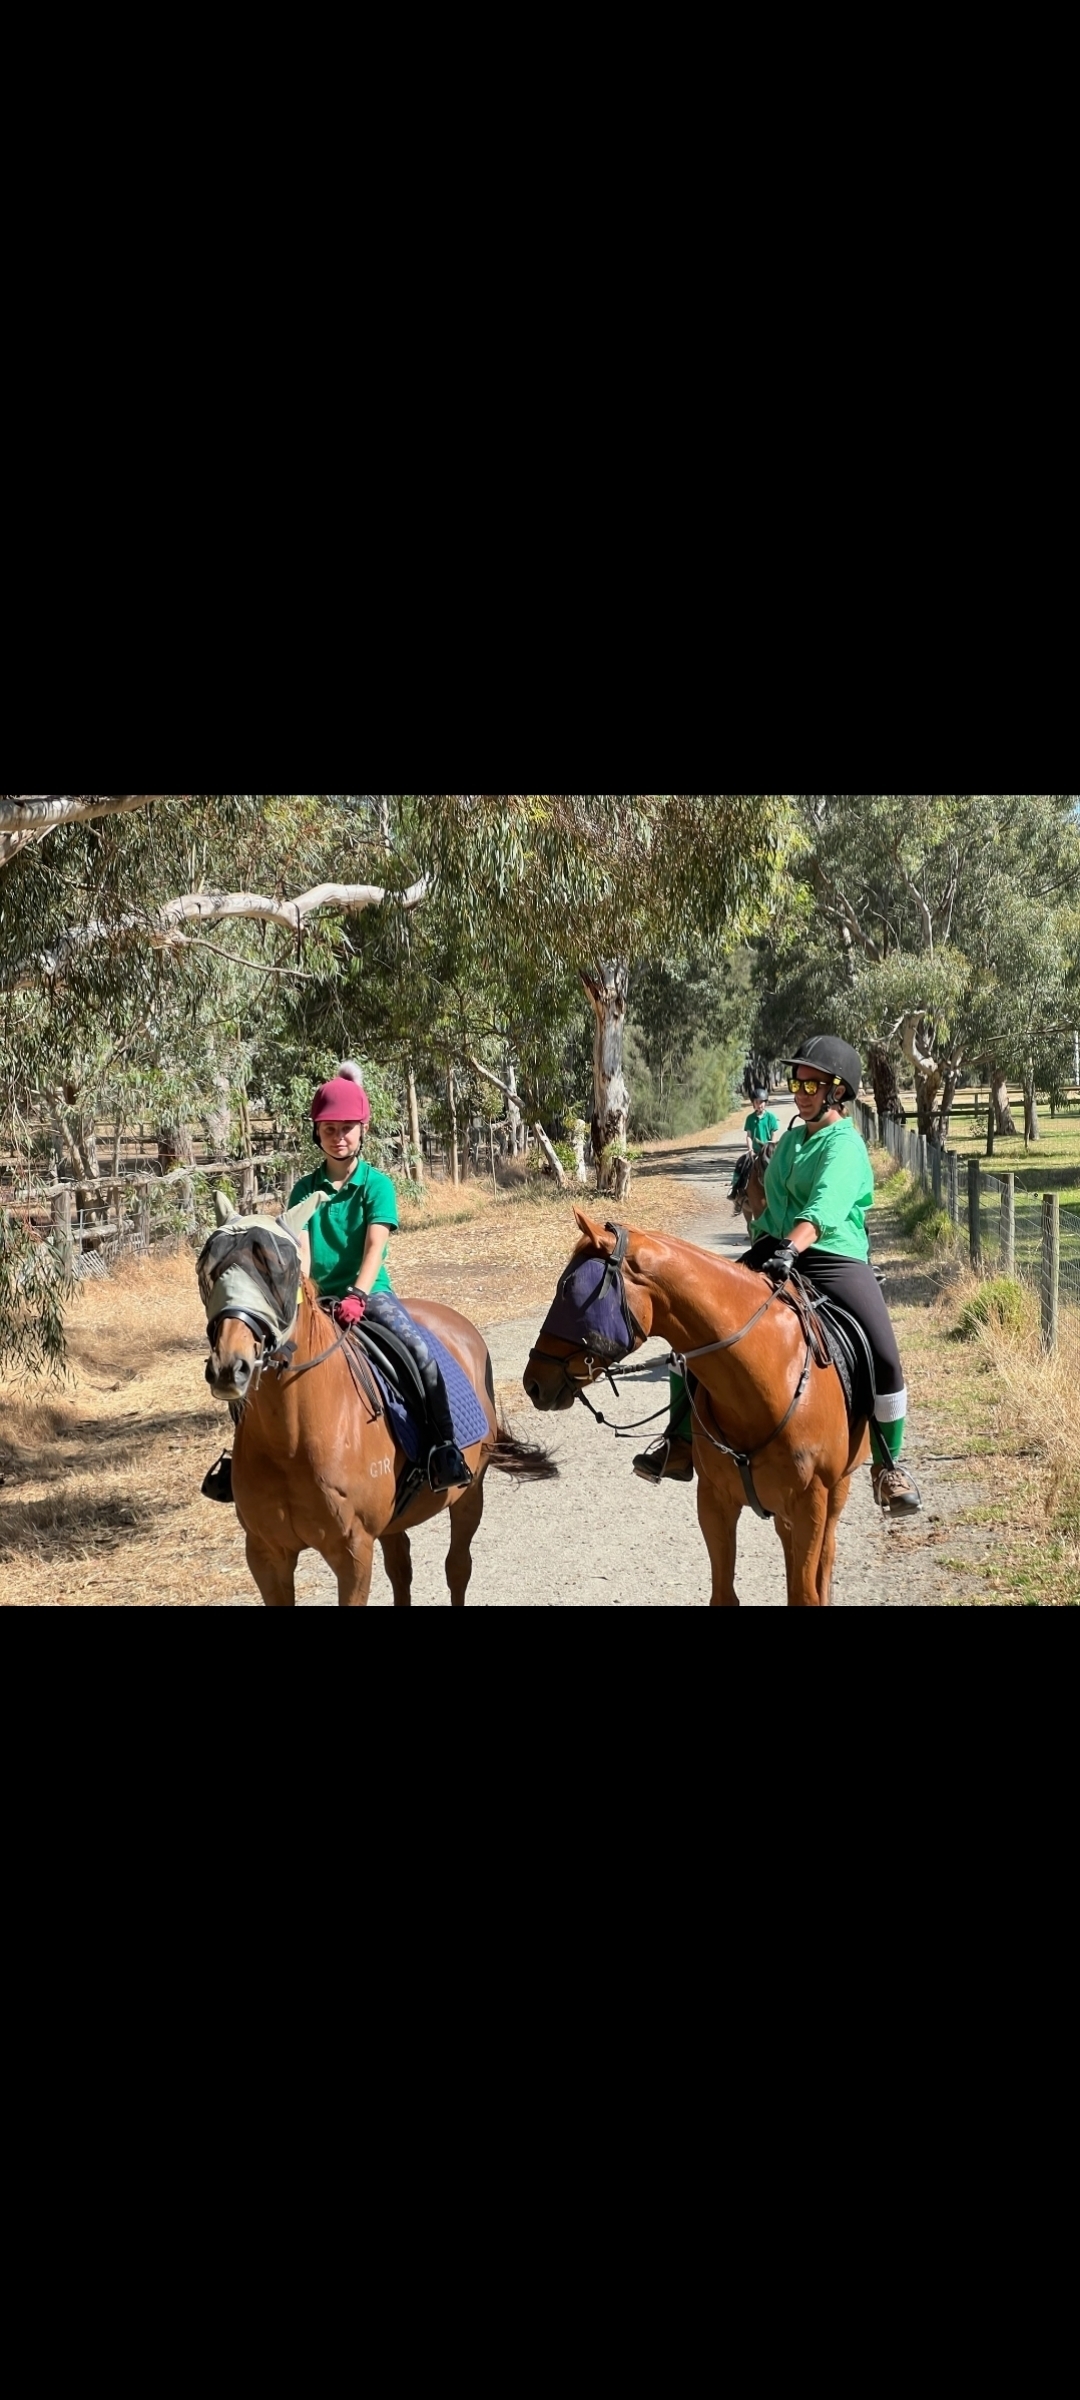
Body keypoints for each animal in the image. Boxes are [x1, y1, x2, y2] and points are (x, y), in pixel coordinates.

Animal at [200, 1211, 555, 1607]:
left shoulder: (352, 1551)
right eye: (208, 1270)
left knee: (457, 1567)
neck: (291, 1441)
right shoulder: (265, 1554)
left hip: (469, 1493)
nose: (230, 1366)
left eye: (280, 1272)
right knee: (401, 1567)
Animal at [523, 1211, 868, 1609]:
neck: (765, 1387)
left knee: (825, 1557)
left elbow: (806, 1593)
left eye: (569, 1290)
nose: (532, 1382)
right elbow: (723, 1594)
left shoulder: (810, 1504)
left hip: (836, 1493)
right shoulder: (714, 1501)